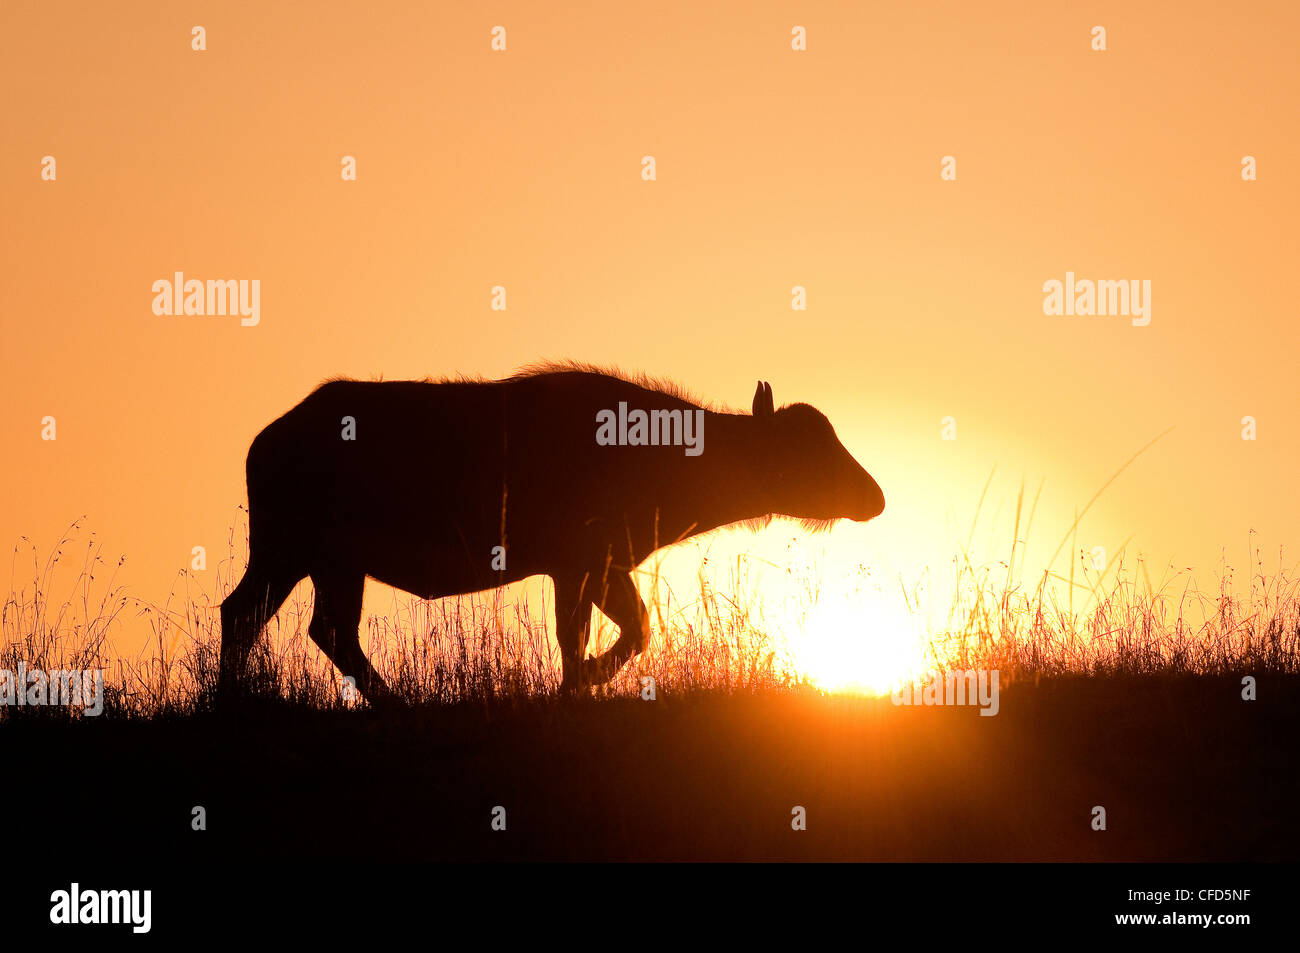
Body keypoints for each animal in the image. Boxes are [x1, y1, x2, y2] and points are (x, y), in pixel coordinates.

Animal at [218, 364, 885, 703]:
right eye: (808, 448)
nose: (875, 498)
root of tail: (267, 439)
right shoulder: (583, 565)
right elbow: (591, 635)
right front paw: (580, 682)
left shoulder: (602, 568)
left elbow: (626, 630)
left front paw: (582, 680)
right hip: (294, 552)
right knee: (269, 618)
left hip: (325, 563)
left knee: (301, 625)